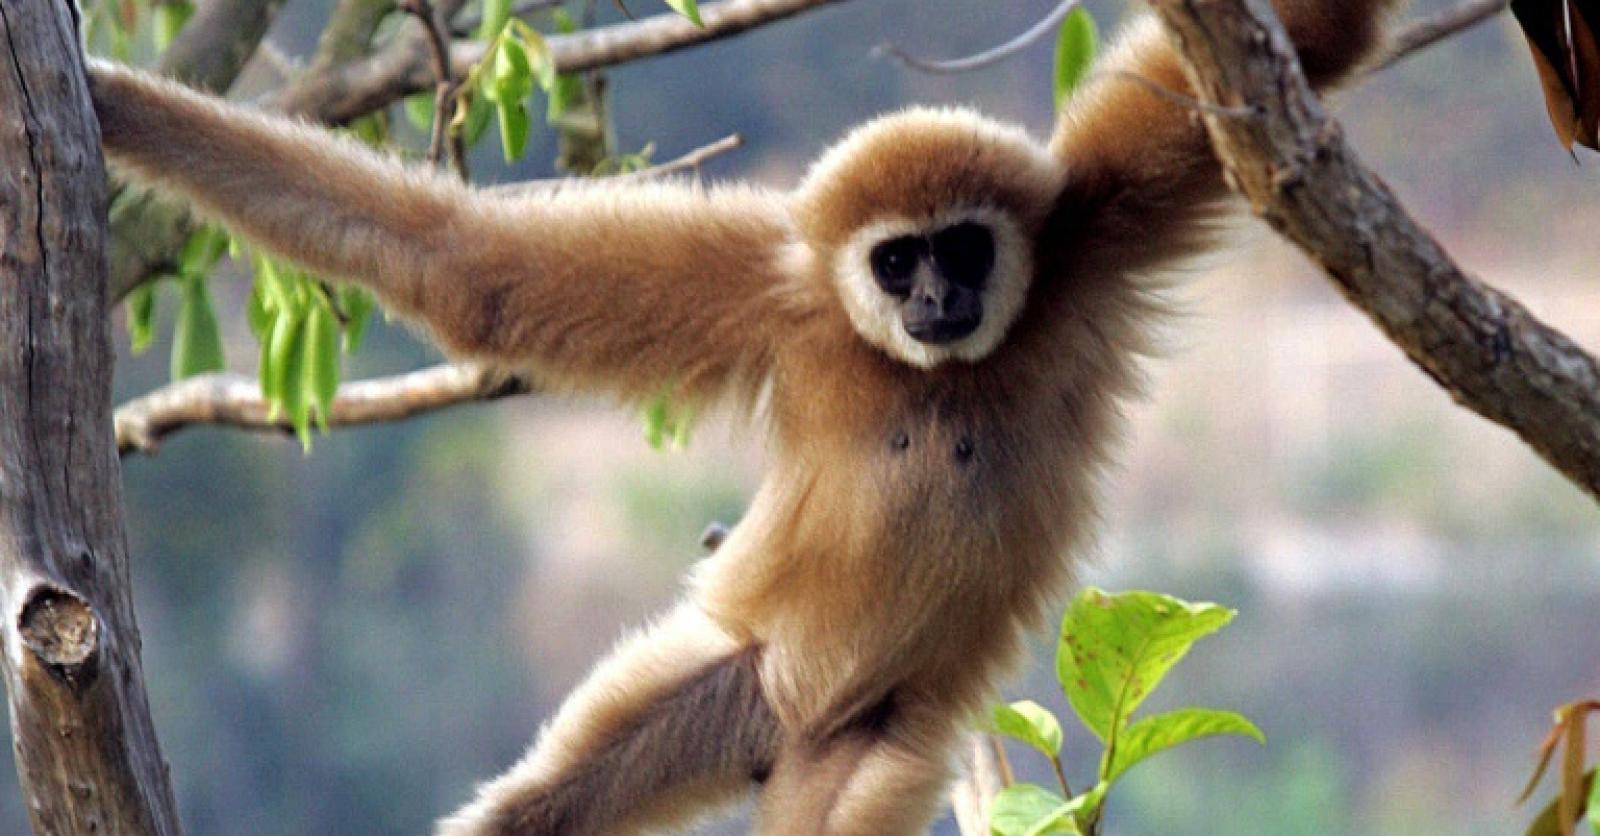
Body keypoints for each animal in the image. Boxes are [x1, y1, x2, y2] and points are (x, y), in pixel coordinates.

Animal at [83, 1, 1400, 832]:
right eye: (898, 259)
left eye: (964, 247)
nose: (936, 298)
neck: (914, 366)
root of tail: (790, 715)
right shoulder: (774, 294)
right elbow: (472, 268)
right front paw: (112, 105)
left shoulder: (1096, 222)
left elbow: (1312, 43)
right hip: (743, 670)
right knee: (536, 809)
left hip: (869, 737)